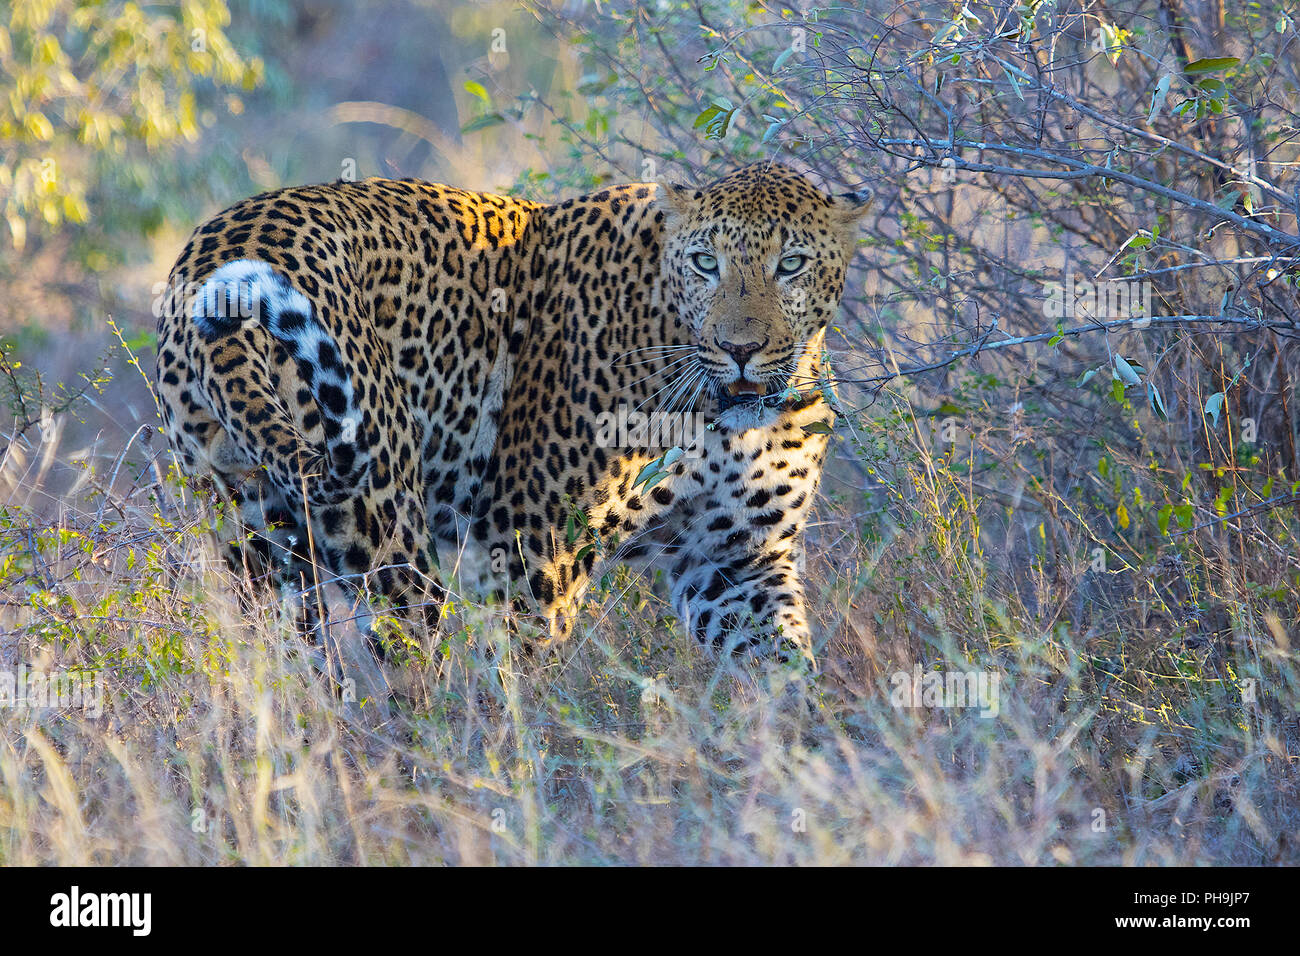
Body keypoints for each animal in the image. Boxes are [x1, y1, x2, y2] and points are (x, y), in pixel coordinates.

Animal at [154, 161, 871, 663]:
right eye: (705, 263)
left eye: (791, 264)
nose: (739, 348)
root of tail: (214, 253)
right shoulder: (529, 546)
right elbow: (520, 676)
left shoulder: (736, 558)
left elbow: (785, 665)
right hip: (384, 526)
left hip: (258, 540)